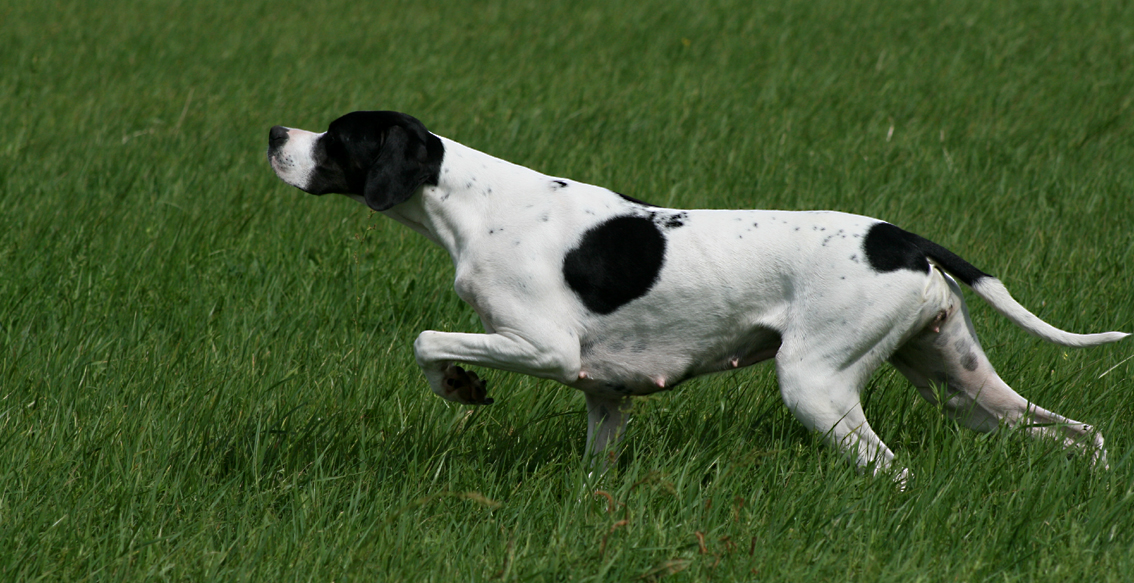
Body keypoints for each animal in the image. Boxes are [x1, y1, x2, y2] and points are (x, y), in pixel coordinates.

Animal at [265, 111, 1124, 478]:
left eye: (337, 136)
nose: (274, 134)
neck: (469, 200)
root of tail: (903, 237)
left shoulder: (547, 348)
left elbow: (423, 341)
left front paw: (460, 384)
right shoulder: (605, 391)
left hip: (816, 386)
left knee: (894, 469)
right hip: (962, 386)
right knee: (1079, 434)